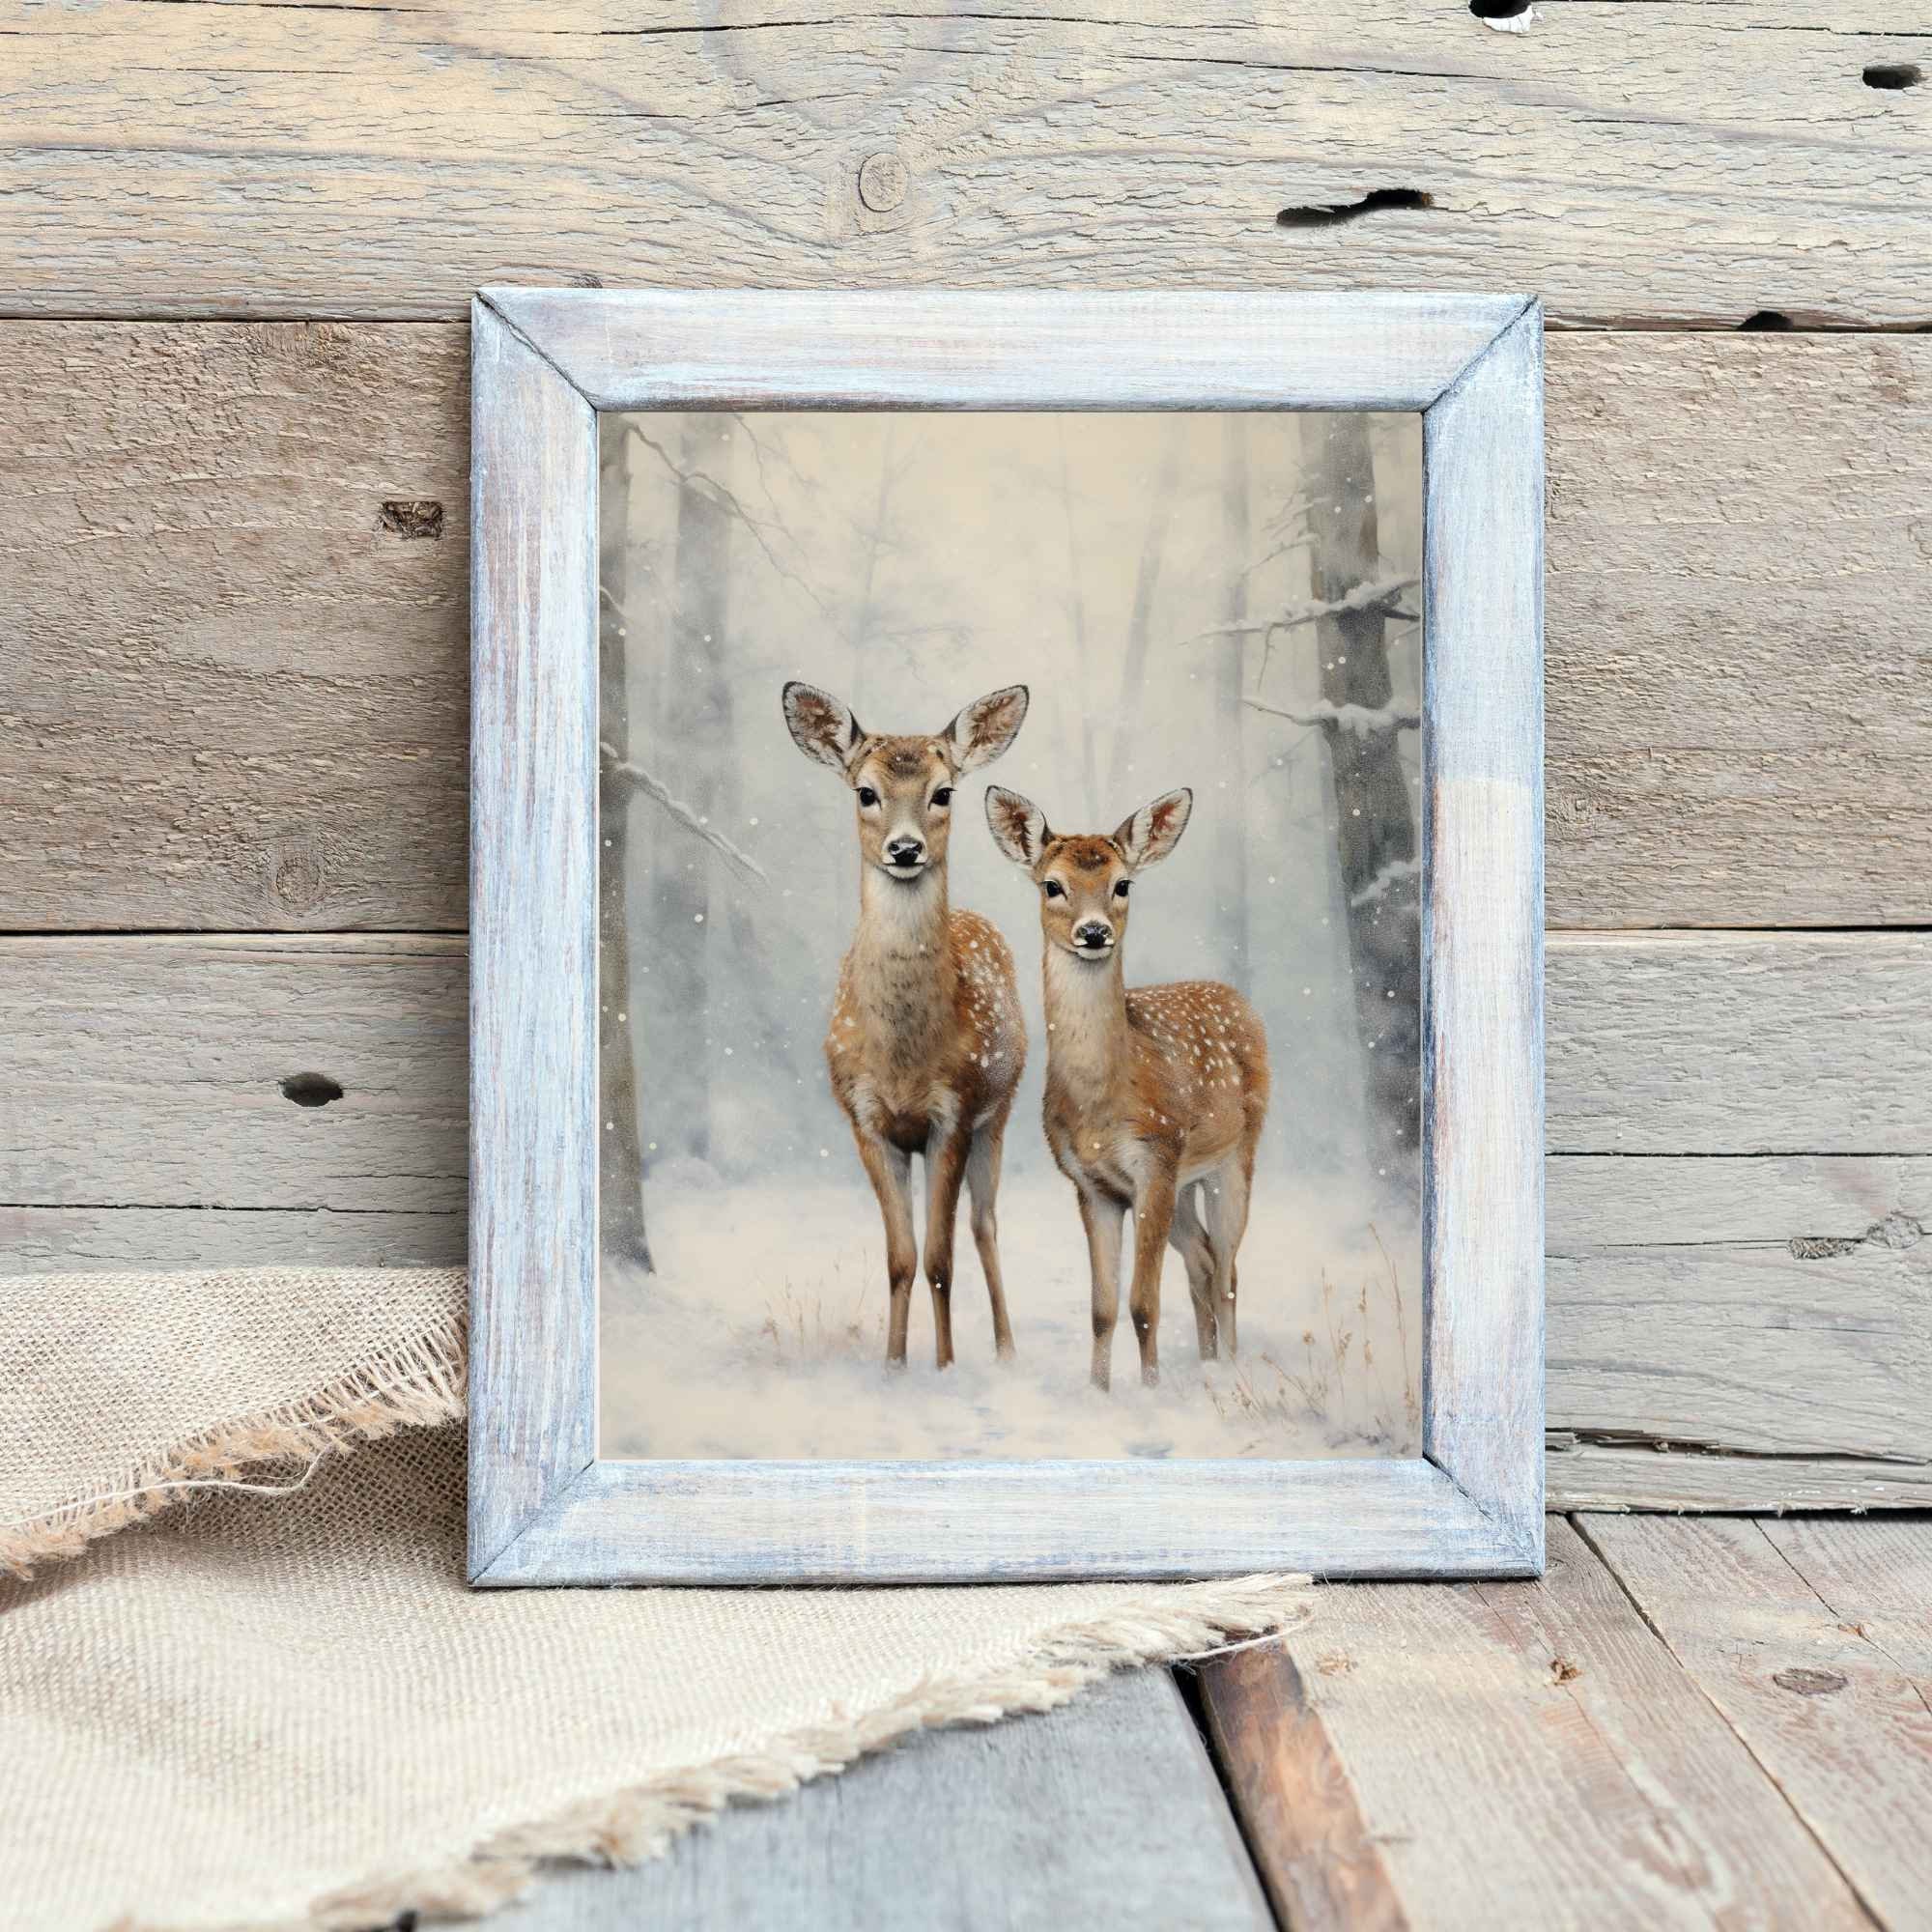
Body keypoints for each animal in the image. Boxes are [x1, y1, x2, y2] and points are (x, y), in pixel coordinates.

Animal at [783, 680, 1031, 1371]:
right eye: (864, 792)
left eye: (943, 792)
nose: (905, 849)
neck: (903, 1061)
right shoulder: (865, 1118)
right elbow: (900, 1258)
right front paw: (894, 1367)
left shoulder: (955, 1111)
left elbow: (941, 1260)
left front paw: (944, 1367)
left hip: (1000, 1111)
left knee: (985, 1224)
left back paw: (1006, 1349)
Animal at [985, 784, 1270, 1391]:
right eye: (1052, 885)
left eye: (1123, 884)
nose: (1094, 932)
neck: (1101, 1104)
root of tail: (1235, 996)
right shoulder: (1093, 1185)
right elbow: (1102, 1307)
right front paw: (1100, 1390)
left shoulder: (1155, 1161)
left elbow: (1143, 1304)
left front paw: (1151, 1388)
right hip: (1185, 1181)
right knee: (1203, 1258)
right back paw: (1208, 1362)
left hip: (1234, 1156)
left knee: (1228, 1267)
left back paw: (1230, 1369)